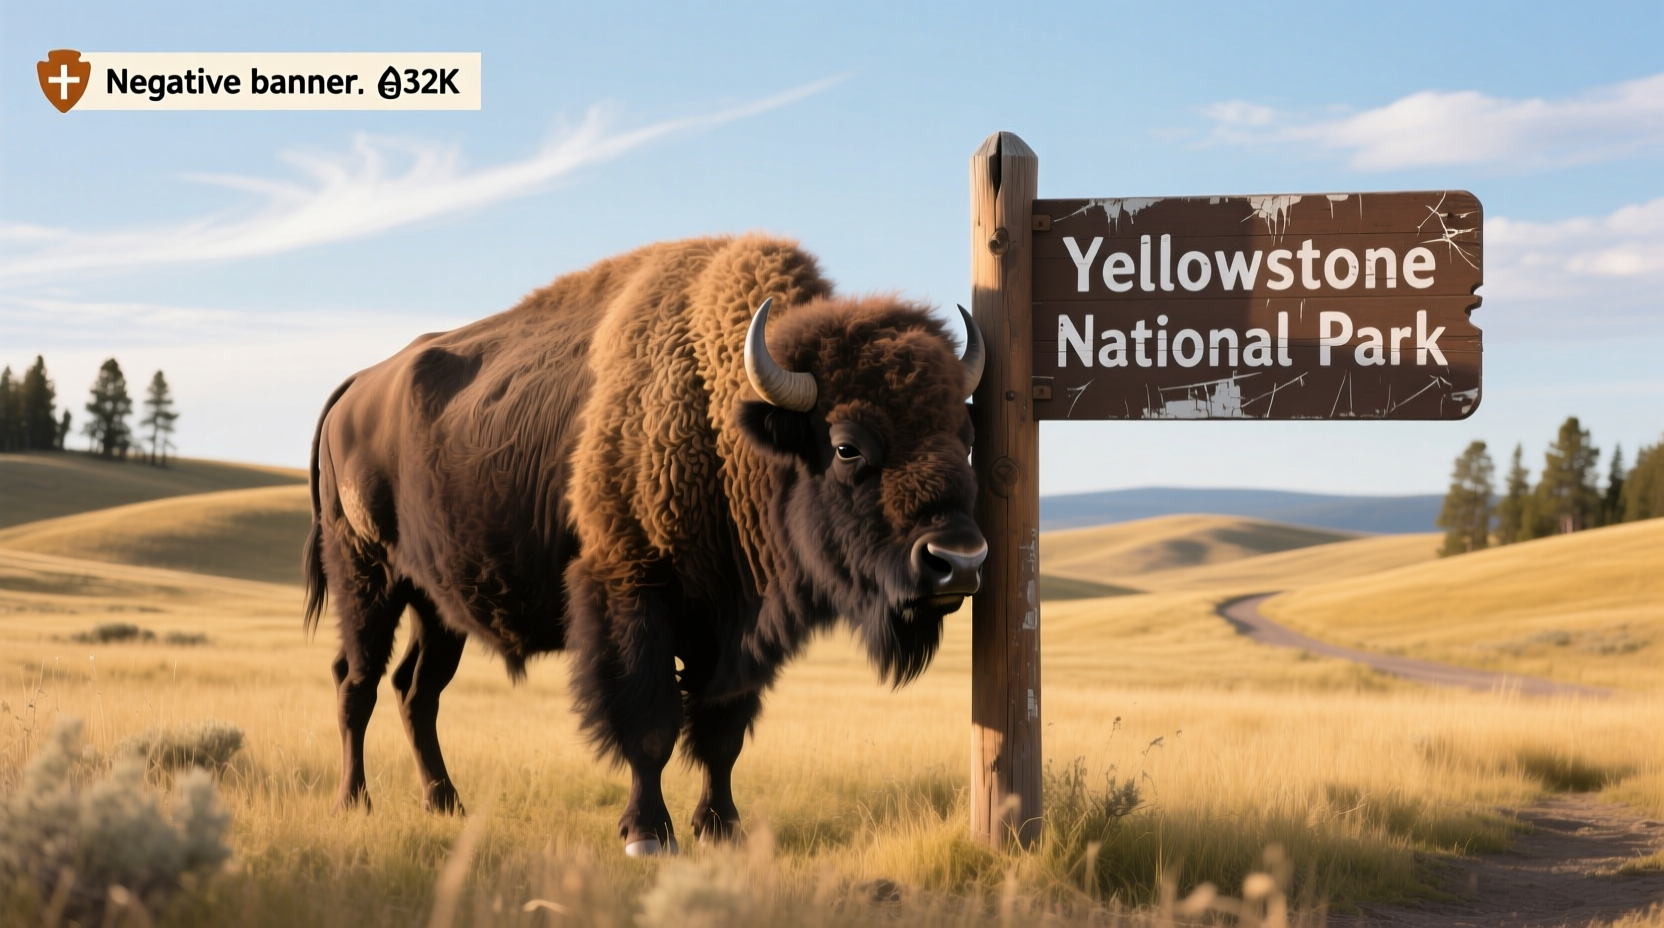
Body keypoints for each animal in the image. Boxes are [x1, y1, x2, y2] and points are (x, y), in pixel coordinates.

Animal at [304, 235, 987, 855]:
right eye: (847, 446)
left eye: (966, 436)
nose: (958, 561)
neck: (724, 418)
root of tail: (354, 390)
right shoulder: (632, 594)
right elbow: (652, 726)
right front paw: (647, 835)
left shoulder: (733, 629)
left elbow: (721, 733)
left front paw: (721, 828)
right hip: (366, 576)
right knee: (356, 682)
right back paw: (354, 802)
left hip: (438, 606)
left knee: (416, 691)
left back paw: (445, 802)